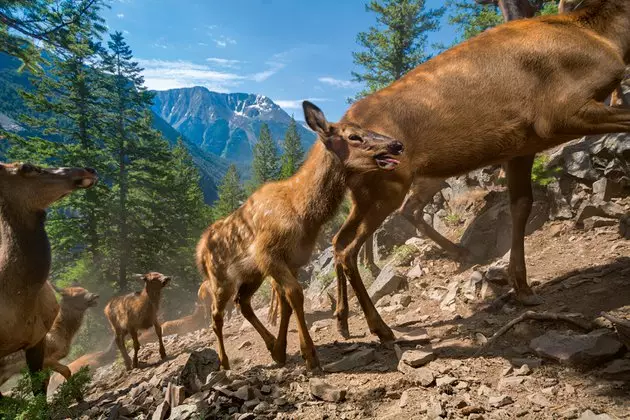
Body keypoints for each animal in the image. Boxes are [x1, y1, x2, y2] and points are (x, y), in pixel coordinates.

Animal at [0, 162, 97, 392]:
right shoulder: (47, 358)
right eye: (28, 167)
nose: (94, 296)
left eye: (83, 289)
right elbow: (64, 372)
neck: (61, 335)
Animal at [198, 101, 404, 370]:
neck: (304, 214)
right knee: (216, 316)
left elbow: (286, 302)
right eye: (353, 136)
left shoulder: (293, 260)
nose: (396, 144)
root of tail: (199, 251)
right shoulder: (268, 254)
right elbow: (295, 295)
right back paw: (224, 362)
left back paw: (270, 346)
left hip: (251, 275)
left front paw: (282, 349)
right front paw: (309, 354)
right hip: (220, 279)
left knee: (242, 303)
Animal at [328, 0, 630, 344]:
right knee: (352, 245)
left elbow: (521, 205)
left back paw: (343, 319)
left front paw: (521, 286)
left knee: (339, 240)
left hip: (367, 195)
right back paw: (380, 326)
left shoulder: (523, 146)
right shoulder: (561, 113)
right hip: (391, 187)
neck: (609, 39)